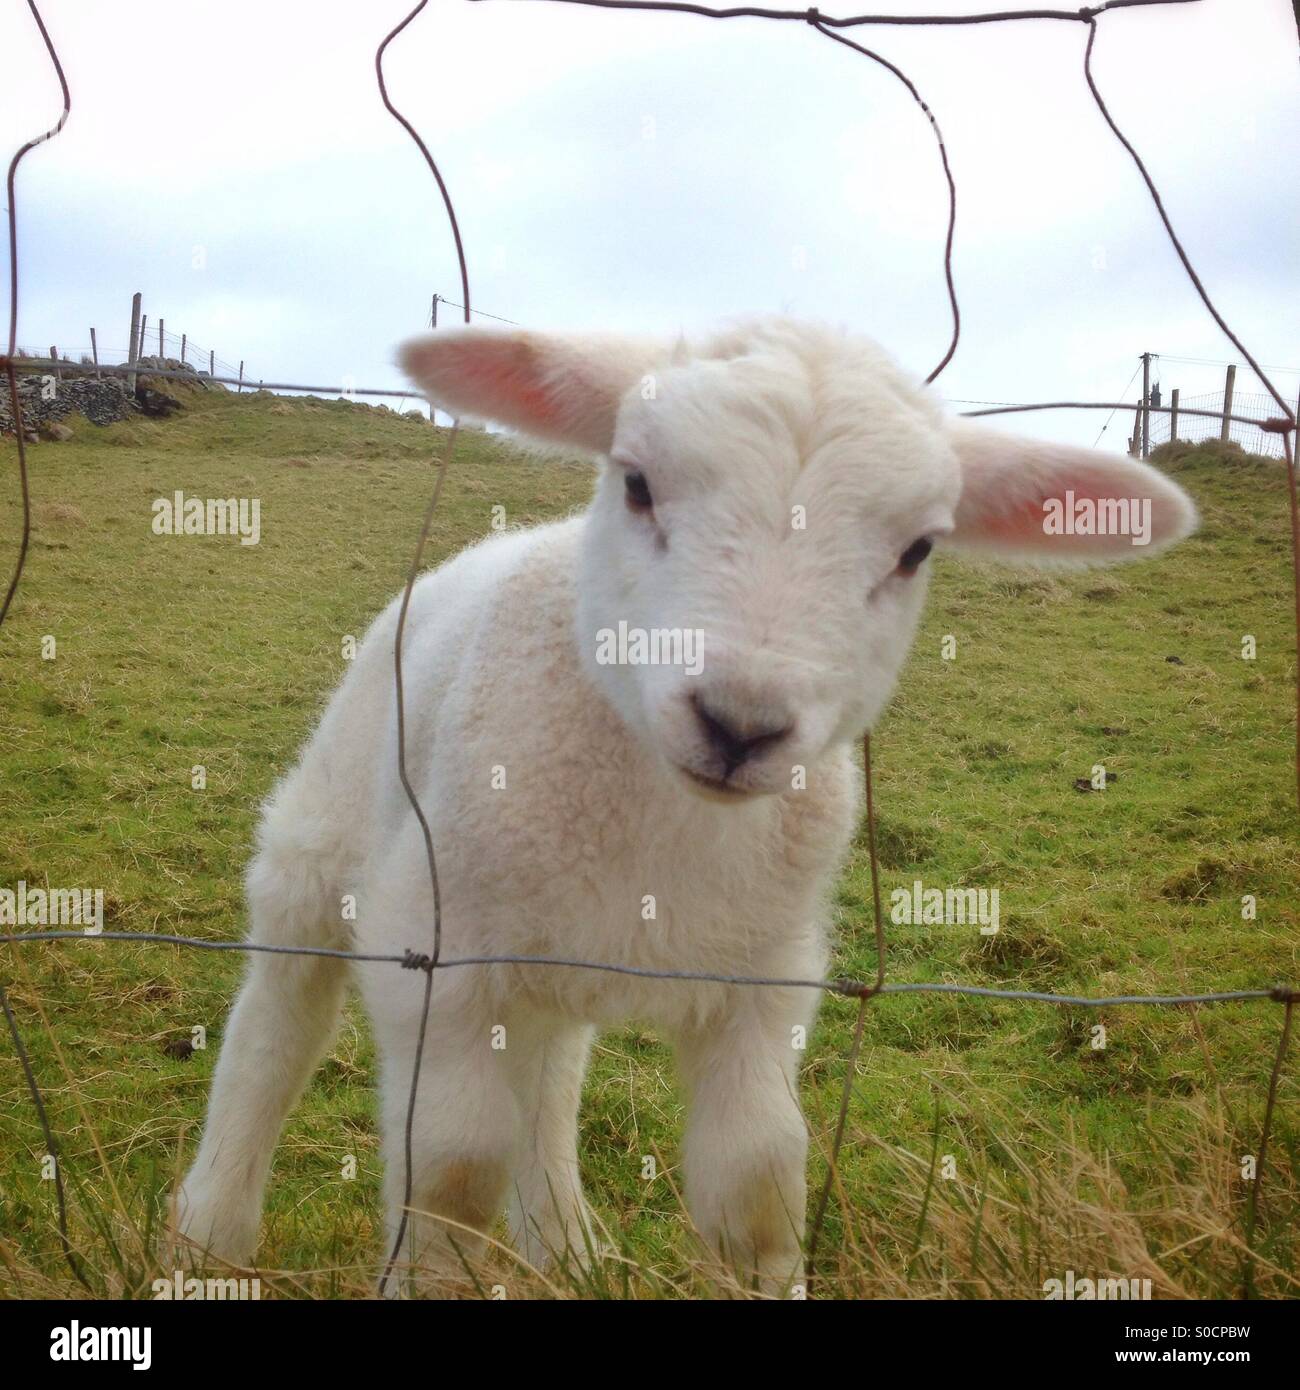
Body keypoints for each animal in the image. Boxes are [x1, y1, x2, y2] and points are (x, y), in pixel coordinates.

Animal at [175, 317, 1197, 1293]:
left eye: (917, 550)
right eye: (636, 483)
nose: (741, 724)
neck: (659, 824)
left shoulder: (765, 978)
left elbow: (758, 1180)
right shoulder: (437, 950)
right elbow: (453, 1173)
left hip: (549, 963)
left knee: (549, 1074)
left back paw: (567, 1248)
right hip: (325, 838)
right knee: (275, 1026)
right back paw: (208, 1237)